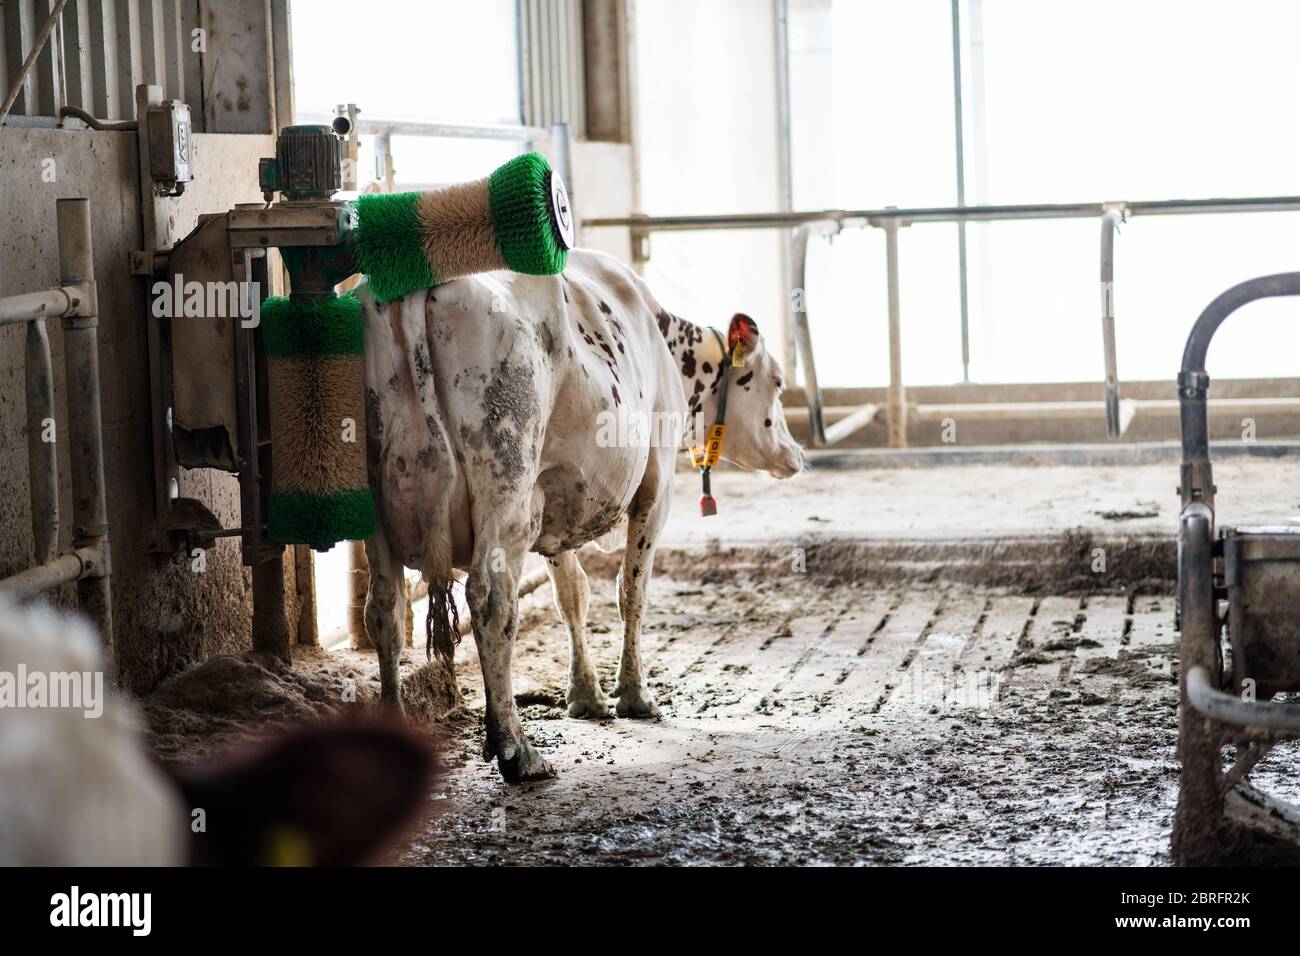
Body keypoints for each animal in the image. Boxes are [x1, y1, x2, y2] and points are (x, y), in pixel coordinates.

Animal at [361, 248, 804, 783]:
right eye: (776, 382)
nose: (797, 456)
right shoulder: (655, 486)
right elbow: (631, 592)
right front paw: (633, 694)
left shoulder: (550, 500)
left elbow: (572, 595)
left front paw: (586, 695)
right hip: (505, 483)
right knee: (491, 602)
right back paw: (516, 749)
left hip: (375, 504)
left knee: (384, 609)